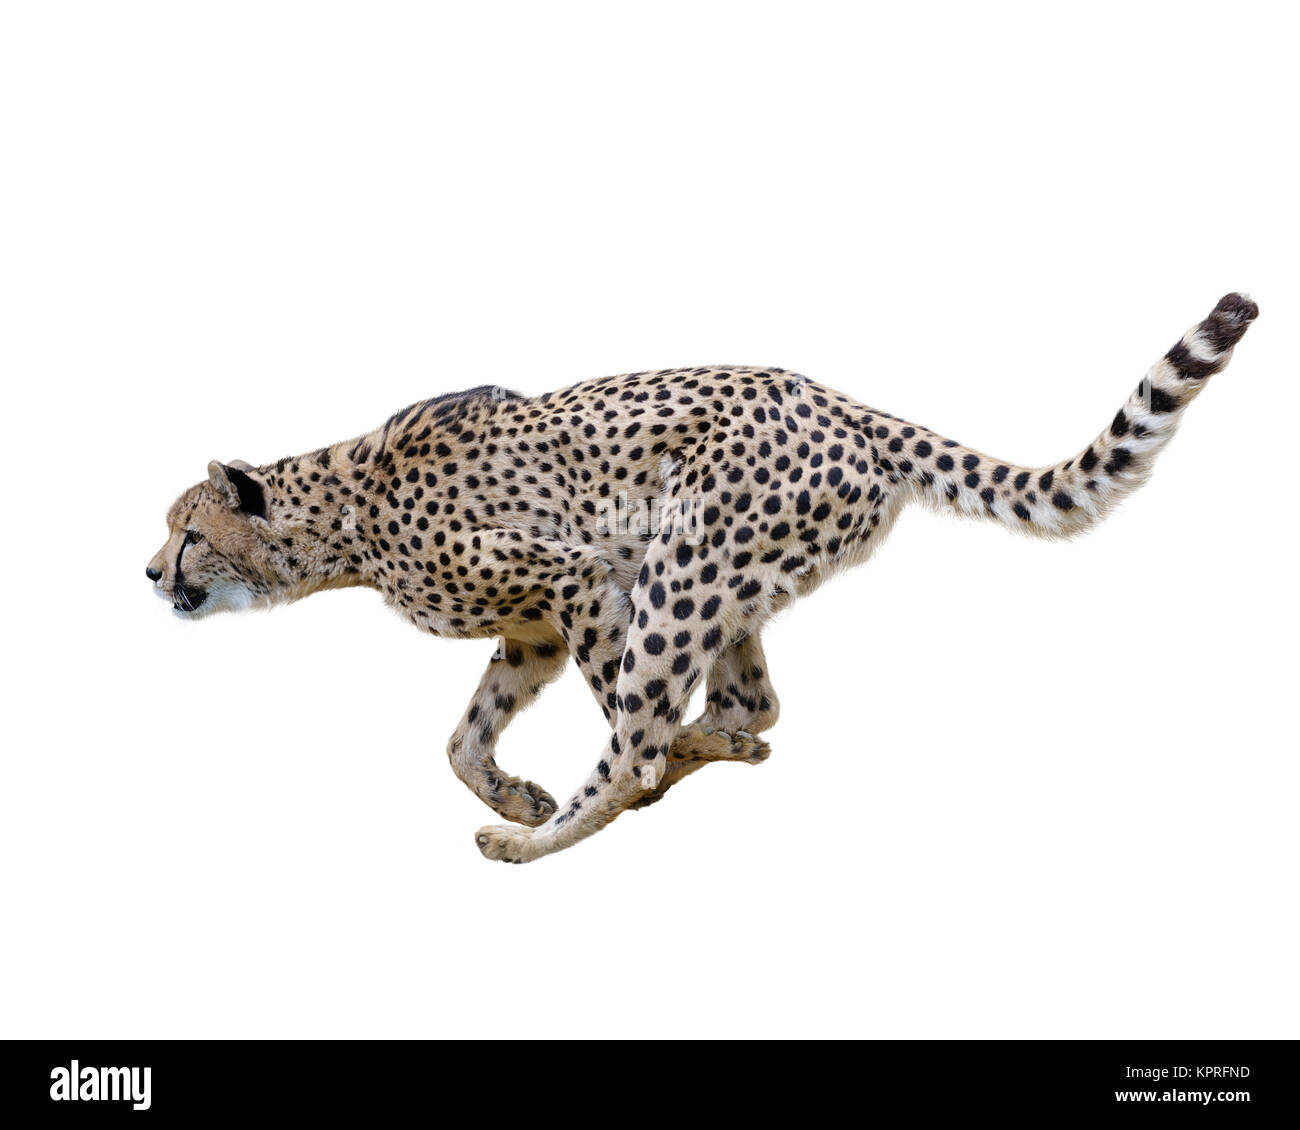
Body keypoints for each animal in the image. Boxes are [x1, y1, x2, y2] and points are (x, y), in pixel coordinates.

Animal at [147, 293, 1258, 863]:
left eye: (189, 532)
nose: (151, 572)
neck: (339, 518)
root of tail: (843, 403)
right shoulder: (531, 626)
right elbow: (461, 737)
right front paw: (514, 791)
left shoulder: (573, 574)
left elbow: (615, 713)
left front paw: (539, 812)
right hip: (727, 579)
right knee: (753, 703)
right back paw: (692, 754)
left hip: (681, 564)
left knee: (649, 733)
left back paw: (550, 836)